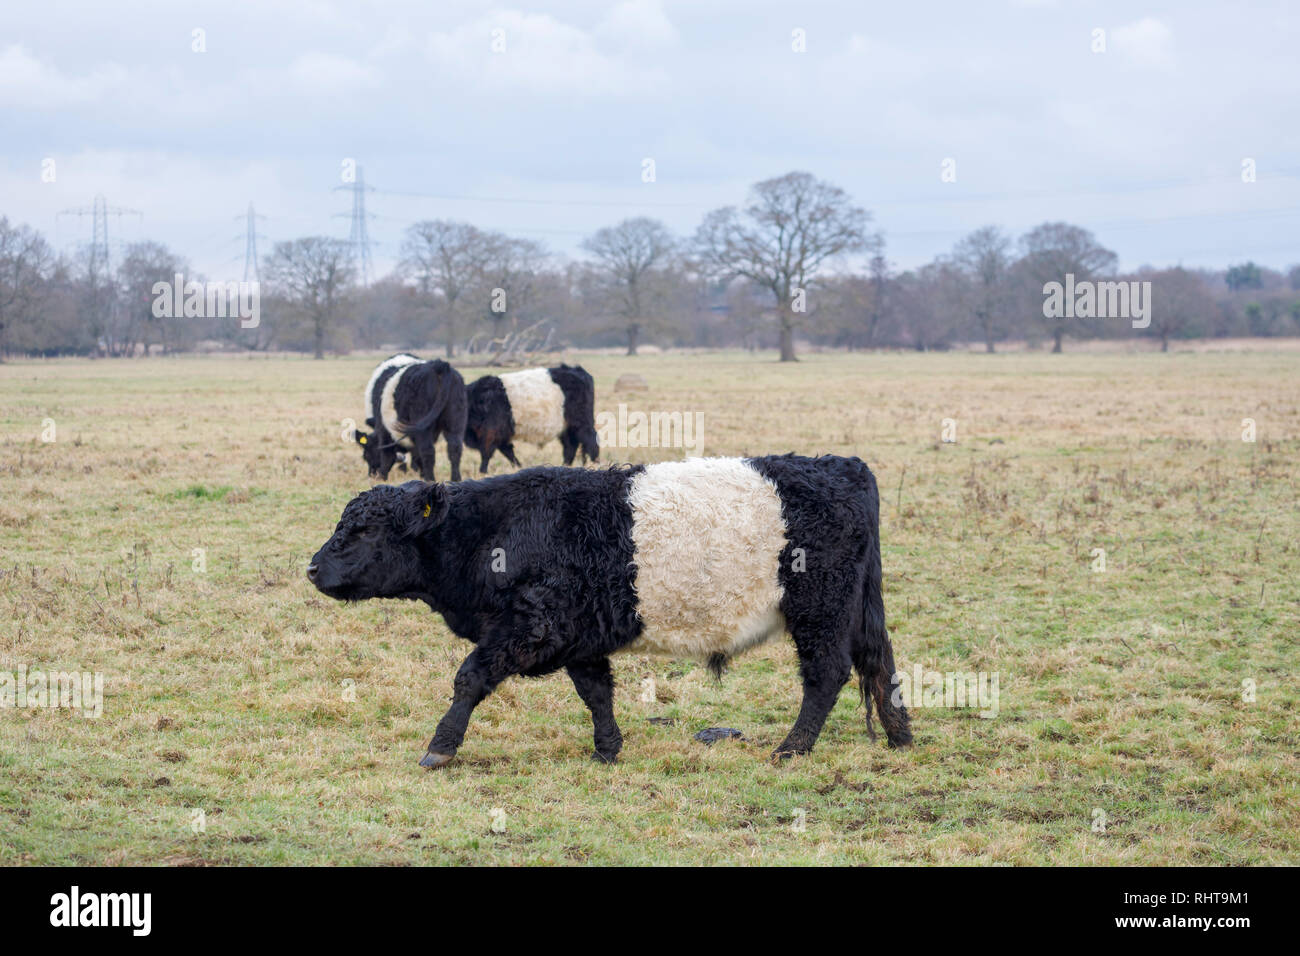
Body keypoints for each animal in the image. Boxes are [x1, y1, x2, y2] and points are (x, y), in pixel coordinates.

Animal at [307, 454, 912, 769]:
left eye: (363, 530)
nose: (312, 568)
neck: (493, 531)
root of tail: (843, 466)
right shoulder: (577, 636)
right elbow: (596, 692)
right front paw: (608, 749)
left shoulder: (527, 626)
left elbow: (470, 679)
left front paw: (439, 748)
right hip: (857, 611)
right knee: (880, 664)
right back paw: (900, 736)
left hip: (820, 612)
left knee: (826, 675)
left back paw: (791, 749)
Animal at [464, 364, 598, 473]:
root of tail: (577, 369)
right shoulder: (501, 435)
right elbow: (508, 453)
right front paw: (518, 467)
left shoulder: (490, 432)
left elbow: (486, 454)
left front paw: (482, 473)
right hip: (566, 427)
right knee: (570, 447)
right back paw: (564, 467)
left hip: (581, 422)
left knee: (591, 441)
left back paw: (594, 465)